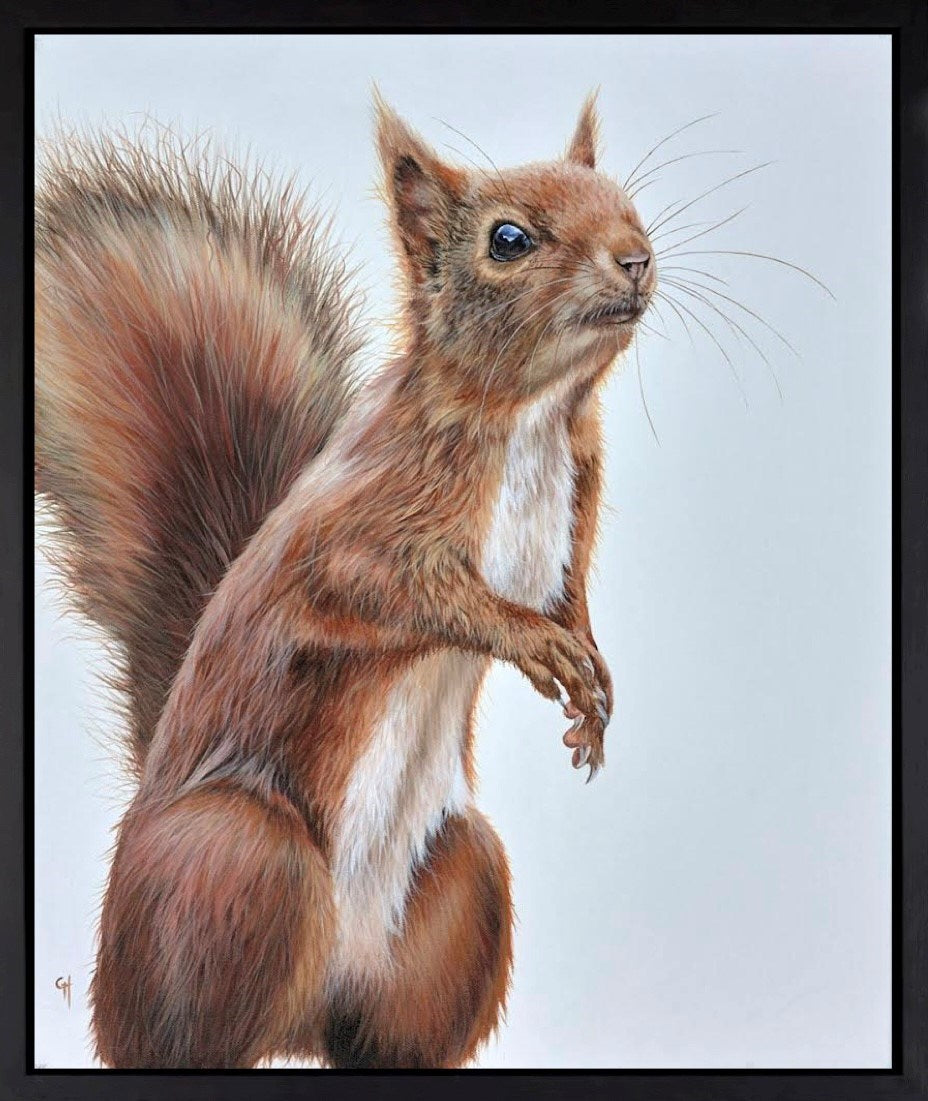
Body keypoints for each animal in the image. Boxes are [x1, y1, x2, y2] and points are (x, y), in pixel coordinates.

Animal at [34, 91, 656, 1069]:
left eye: (623, 200)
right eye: (509, 240)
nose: (635, 256)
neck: (532, 418)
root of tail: (301, 1017)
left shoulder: (574, 516)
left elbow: (572, 597)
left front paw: (591, 682)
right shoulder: (352, 534)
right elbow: (397, 593)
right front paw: (533, 642)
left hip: (459, 896)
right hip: (238, 862)